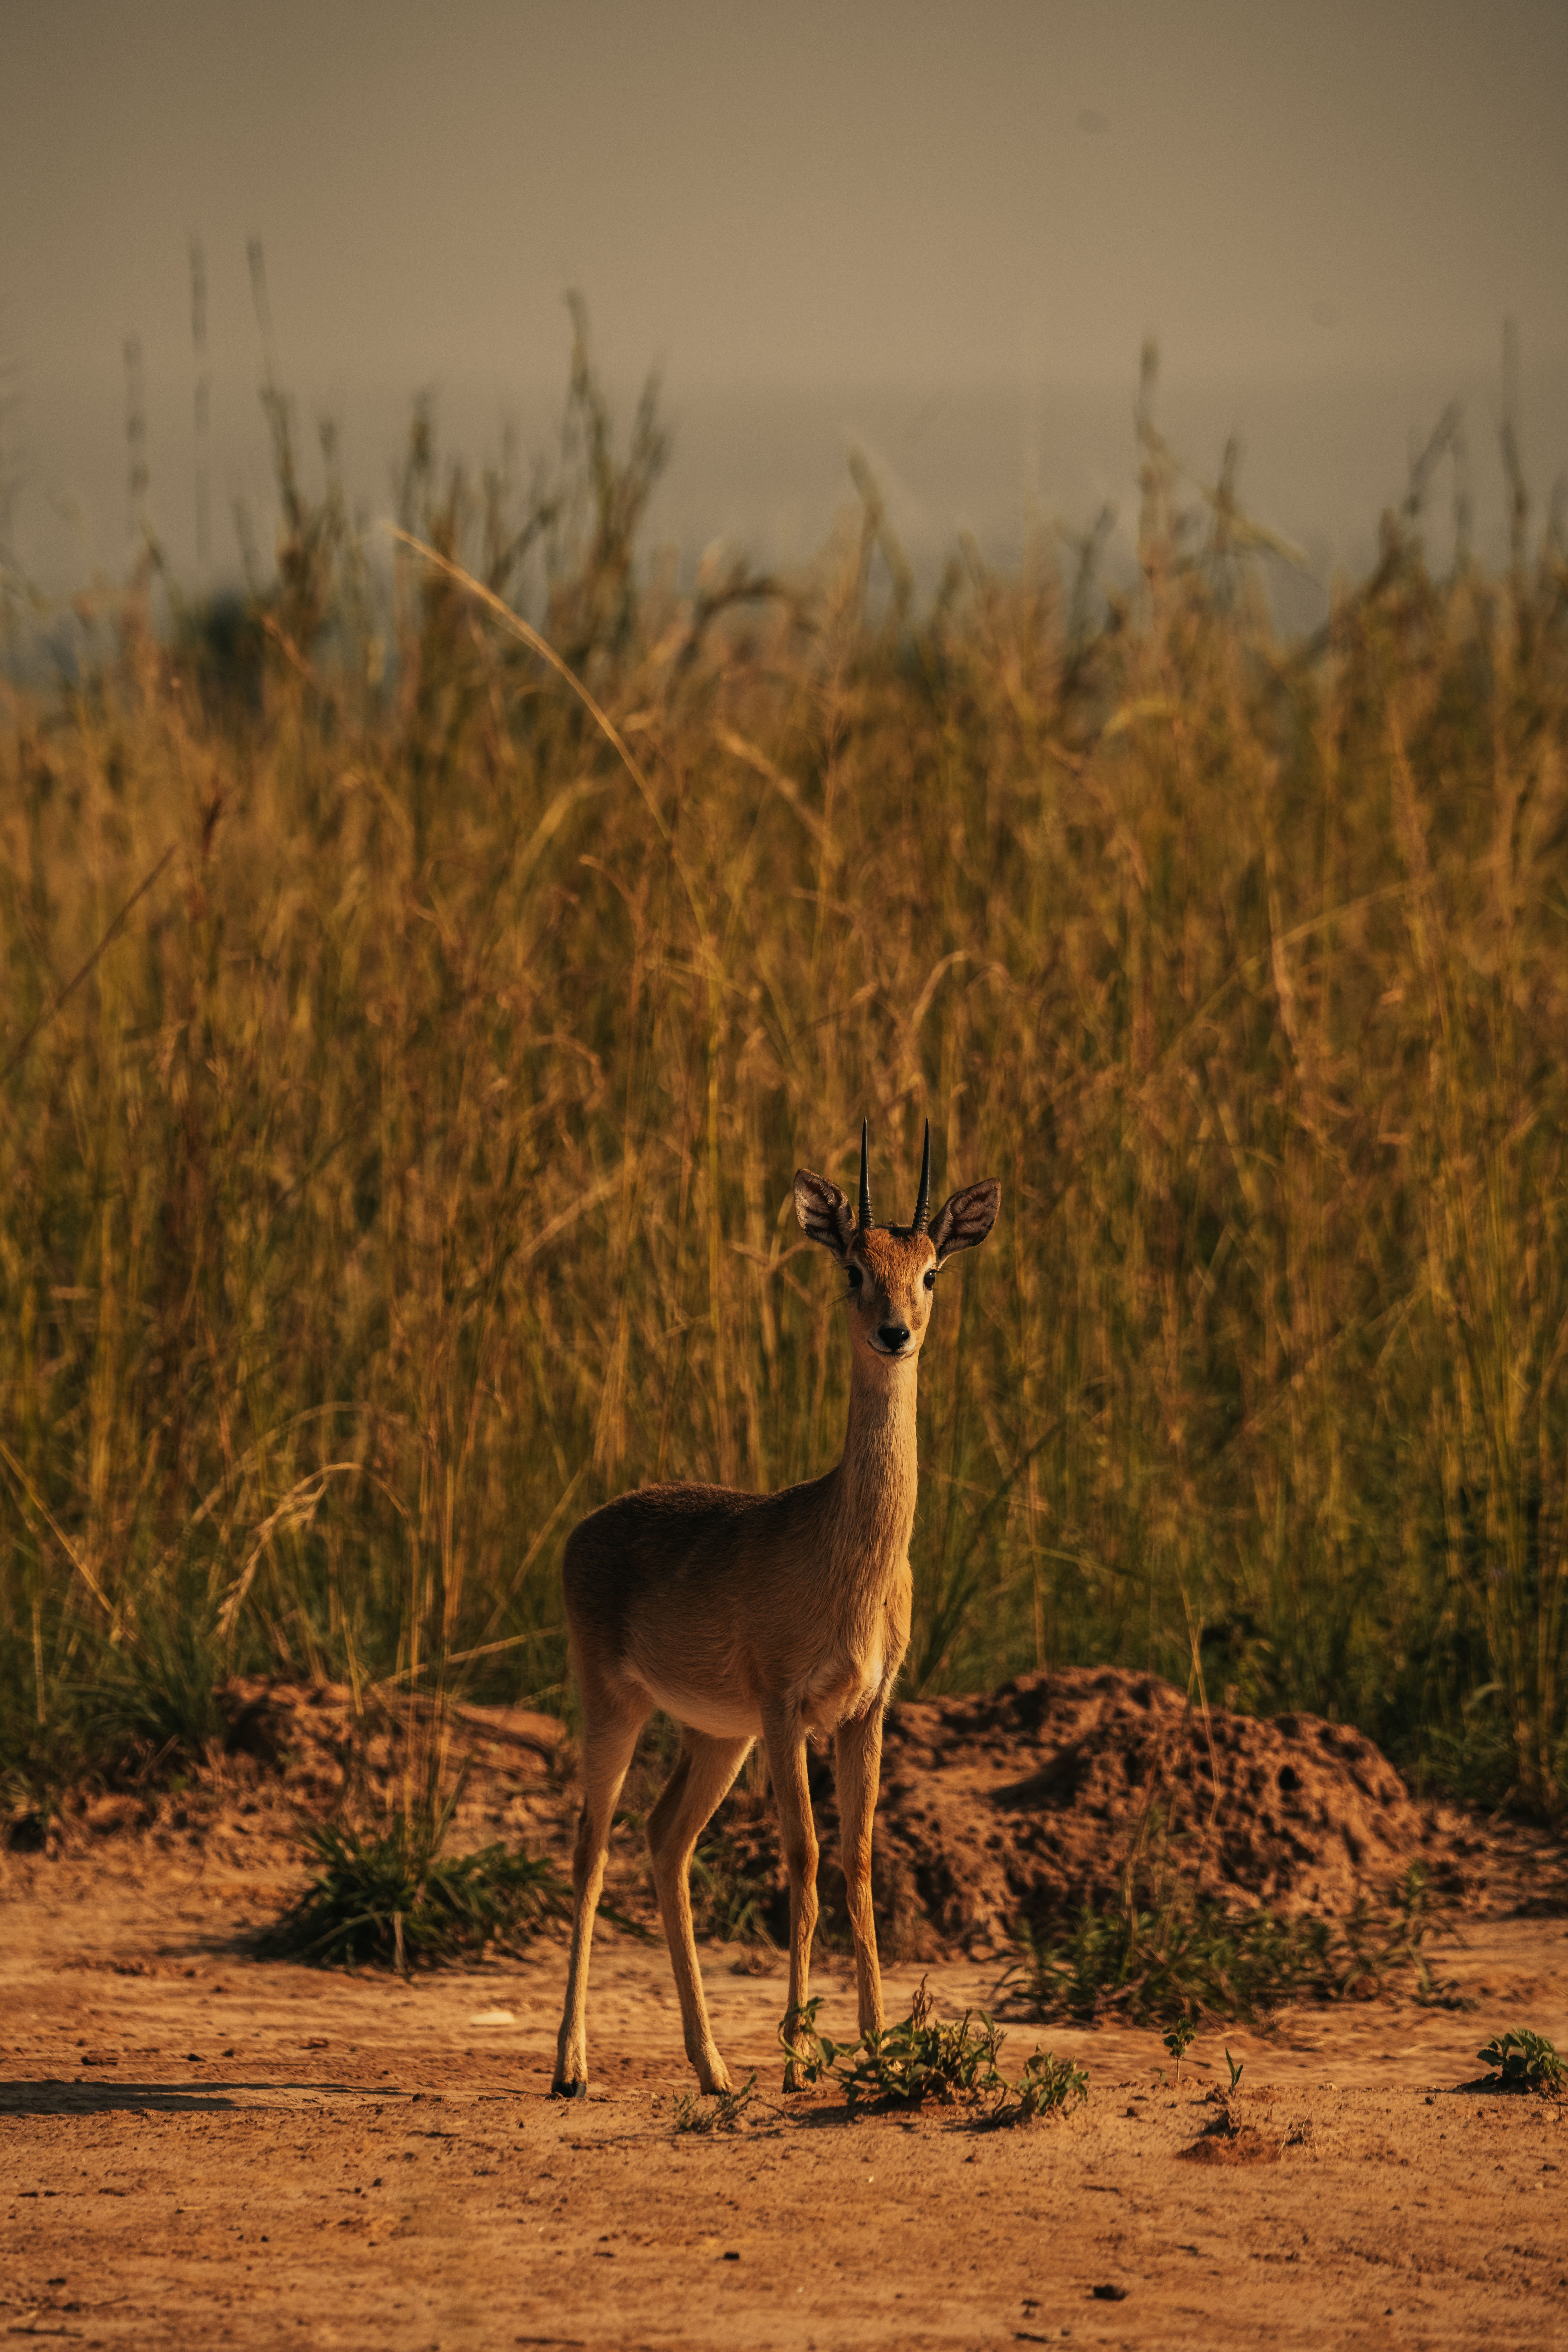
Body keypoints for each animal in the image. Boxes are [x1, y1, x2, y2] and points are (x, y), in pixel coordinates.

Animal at [550, 1120, 1000, 2098]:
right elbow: (803, 1860)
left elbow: (861, 1862)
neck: (846, 1558)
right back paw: (572, 2068)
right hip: (617, 1705)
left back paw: (714, 2067)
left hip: (716, 1735)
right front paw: (800, 2060)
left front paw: (877, 2050)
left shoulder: (867, 1710)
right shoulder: (787, 1706)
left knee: (665, 1840)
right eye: (854, 1268)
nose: (894, 1333)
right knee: (592, 1848)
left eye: (931, 1270)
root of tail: (588, 1525)